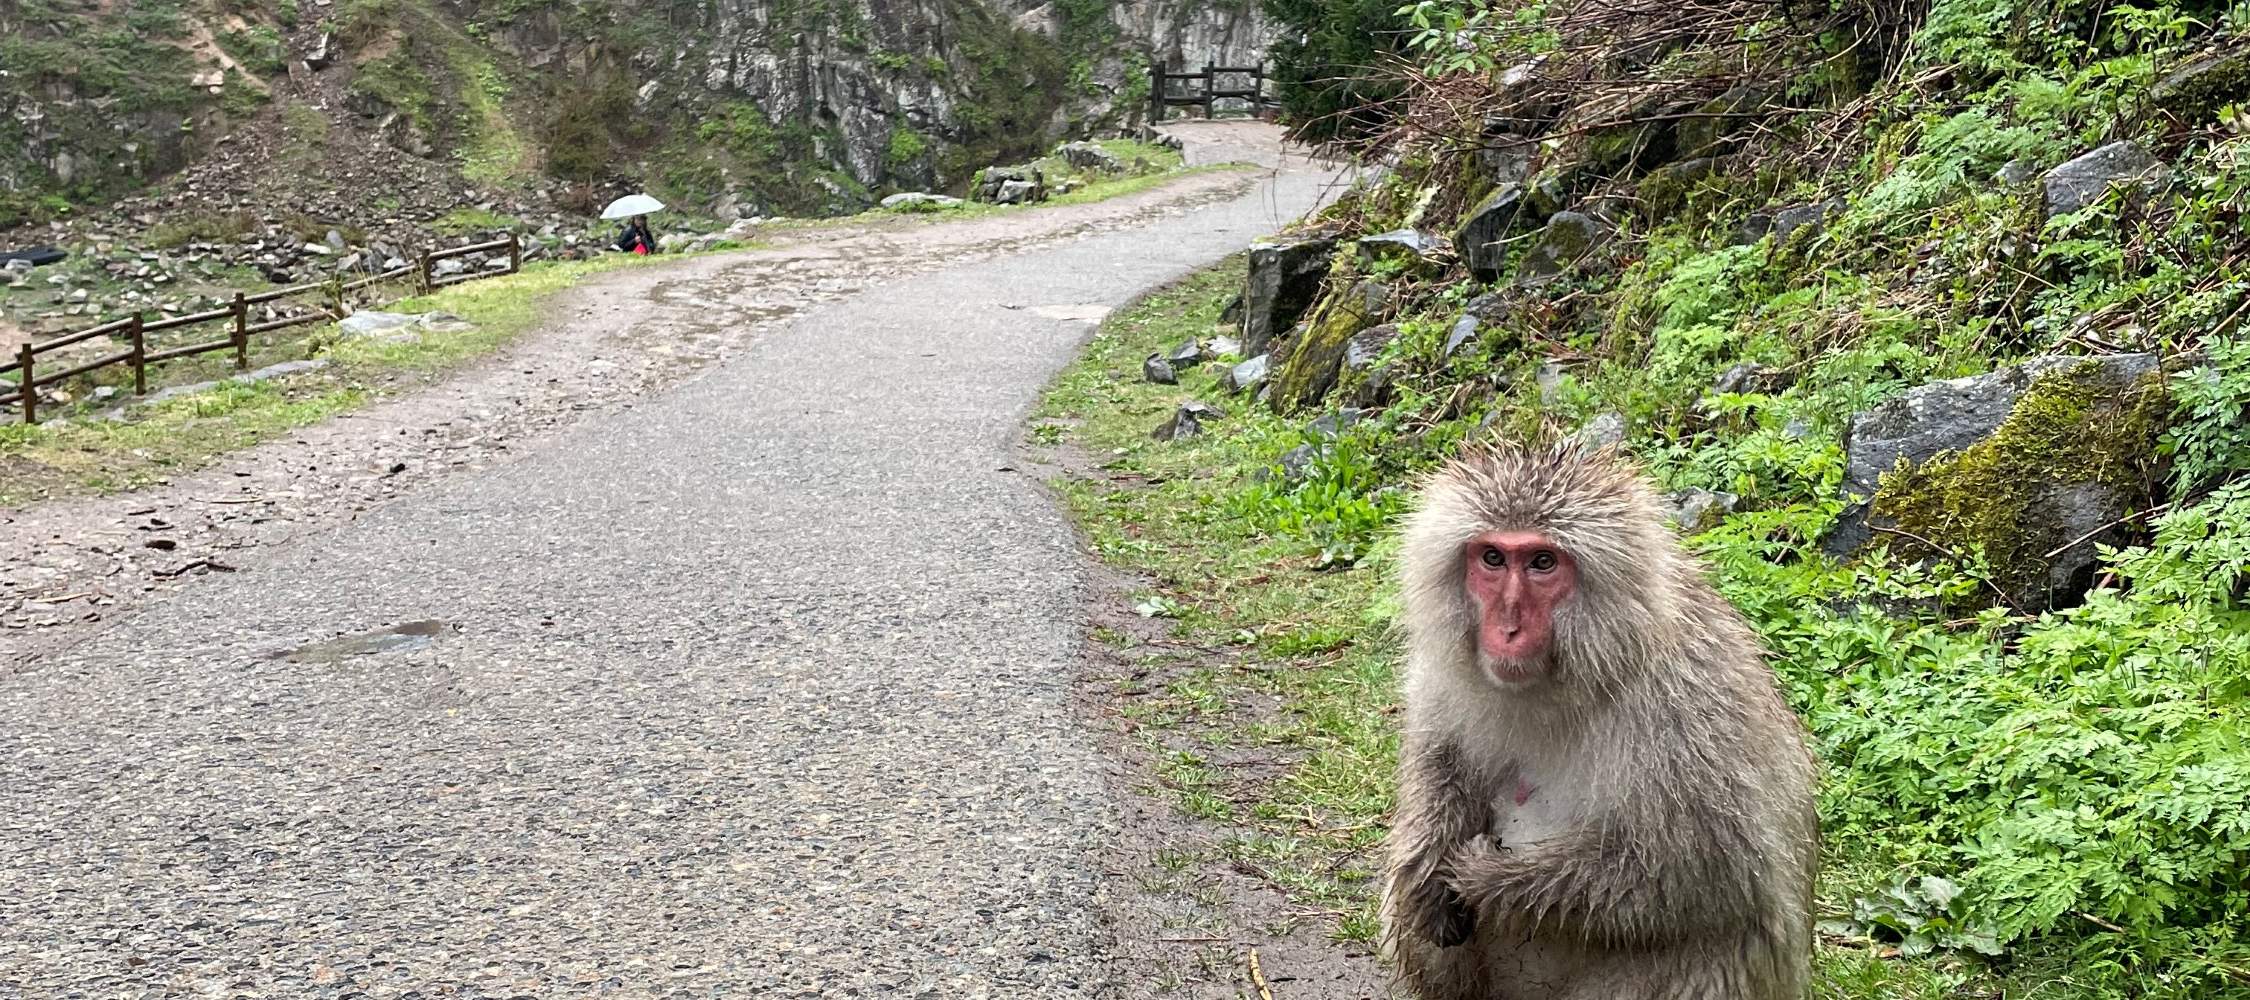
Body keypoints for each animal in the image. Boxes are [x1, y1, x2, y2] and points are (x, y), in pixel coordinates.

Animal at [1380, 442, 1819, 1000]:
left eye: (1543, 562)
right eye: (1493, 558)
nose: (1507, 627)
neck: (1564, 681)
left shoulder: (1689, 711)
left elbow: (1709, 875)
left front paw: (1486, 878)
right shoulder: (1440, 678)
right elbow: (1439, 769)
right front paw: (1426, 870)